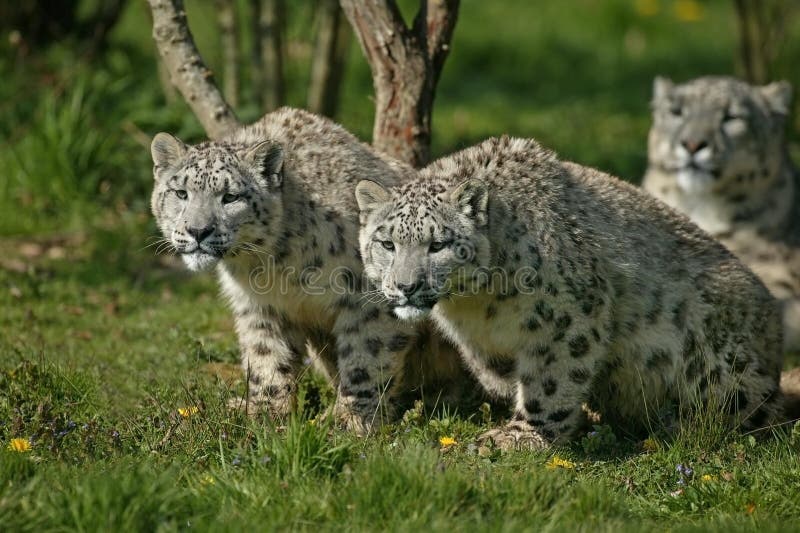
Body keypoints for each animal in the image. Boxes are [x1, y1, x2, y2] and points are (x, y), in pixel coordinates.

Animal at [150, 107, 470, 434]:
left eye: (230, 197)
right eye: (180, 193)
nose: (198, 231)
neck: (269, 266)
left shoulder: (371, 302)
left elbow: (365, 357)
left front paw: (350, 422)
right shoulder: (259, 306)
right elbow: (265, 357)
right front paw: (264, 416)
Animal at [356, 135, 785, 449]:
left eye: (438, 245)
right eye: (387, 243)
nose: (406, 286)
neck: (476, 306)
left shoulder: (568, 316)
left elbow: (550, 380)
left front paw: (522, 436)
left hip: (720, 368)